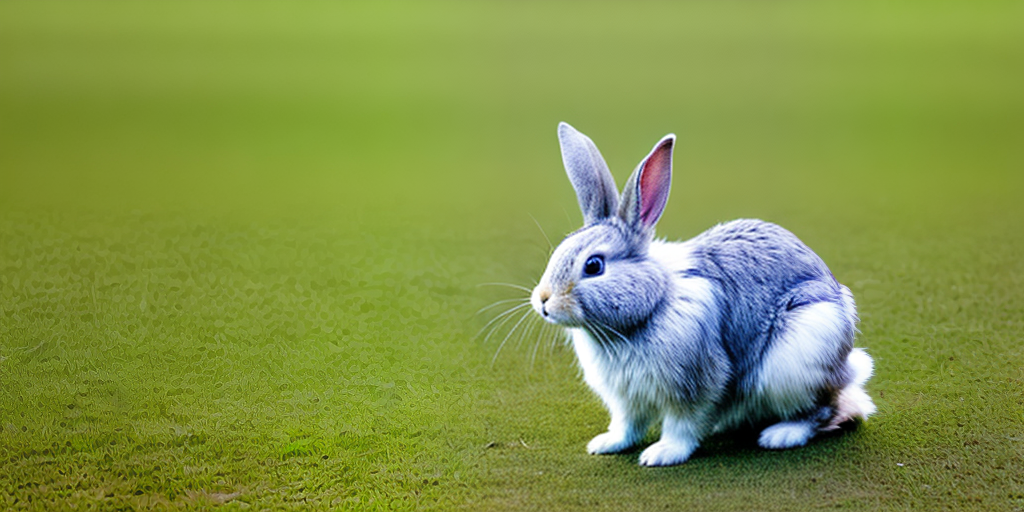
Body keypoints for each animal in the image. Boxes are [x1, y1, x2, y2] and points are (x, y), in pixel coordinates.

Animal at [530, 122, 876, 467]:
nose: (543, 301)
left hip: (798, 360)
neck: (651, 307)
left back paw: (781, 434)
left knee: (823, 410)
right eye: (559, 250)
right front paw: (605, 444)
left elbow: (682, 426)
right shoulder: (627, 399)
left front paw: (661, 454)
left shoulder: (695, 385)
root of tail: (846, 368)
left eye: (593, 265)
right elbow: (626, 425)